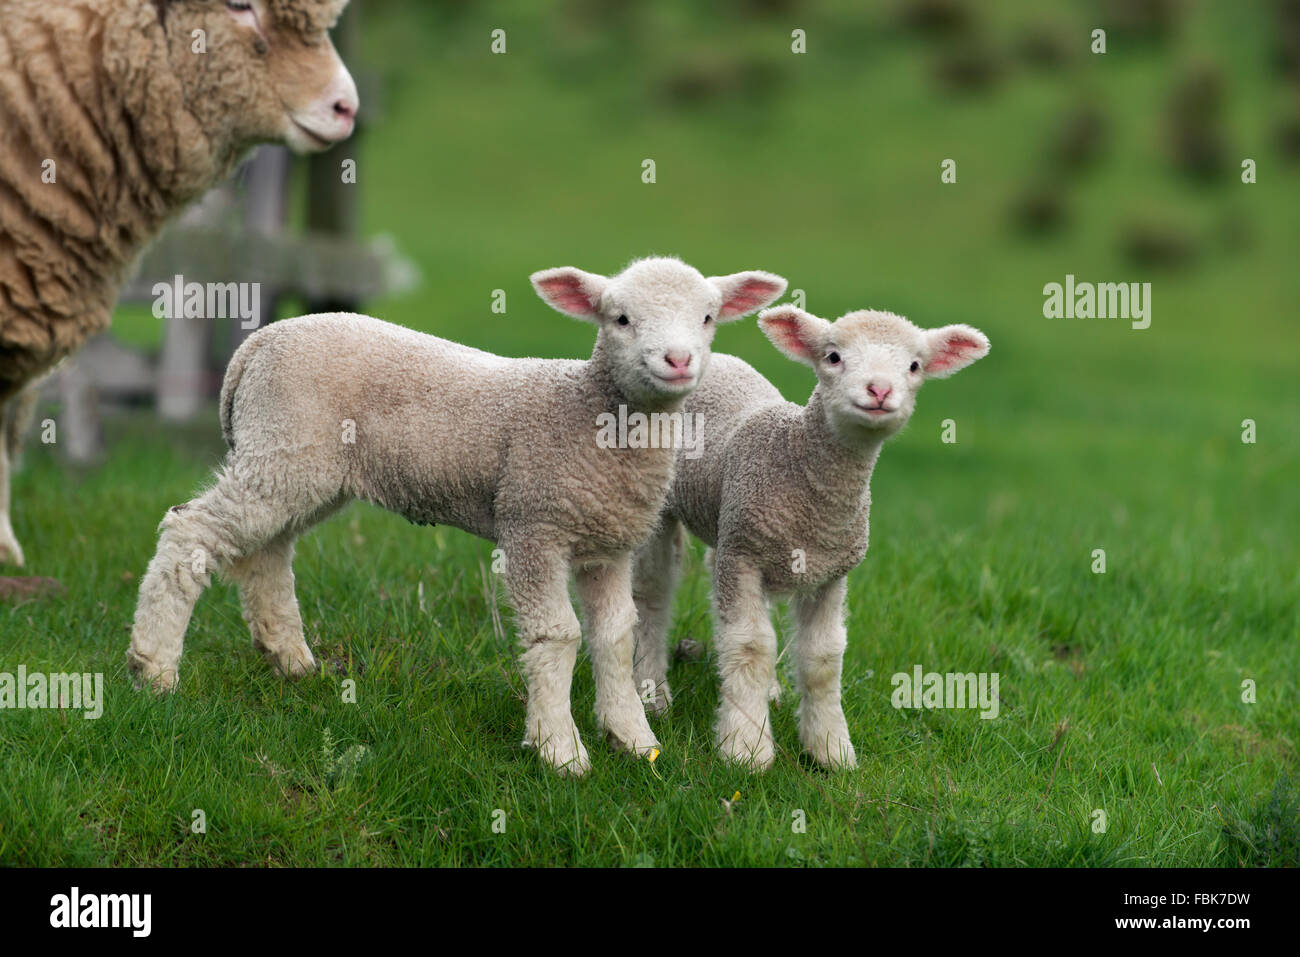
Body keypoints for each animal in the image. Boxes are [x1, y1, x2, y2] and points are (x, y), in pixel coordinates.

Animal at [126, 257, 787, 776]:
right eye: (619, 319)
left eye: (708, 317)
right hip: (283, 447)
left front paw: (632, 737)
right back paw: (155, 669)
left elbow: (617, 636)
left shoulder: (607, 542)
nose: (678, 360)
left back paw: (289, 660)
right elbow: (558, 635)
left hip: (297, 465)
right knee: (188, 530)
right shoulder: (533, 524)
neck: (590, 414)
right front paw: (560, 750)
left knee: (269, 551)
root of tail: (256, 345)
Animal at [631, 306, 989, 770]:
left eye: (915, 365)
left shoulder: (829, 572)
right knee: (652, 594)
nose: (879, 389)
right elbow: (750, 645)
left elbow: (823, 658)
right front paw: (745, 748)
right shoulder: (743, 556)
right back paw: (651, 691)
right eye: (833, 356)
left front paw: (830, 750)